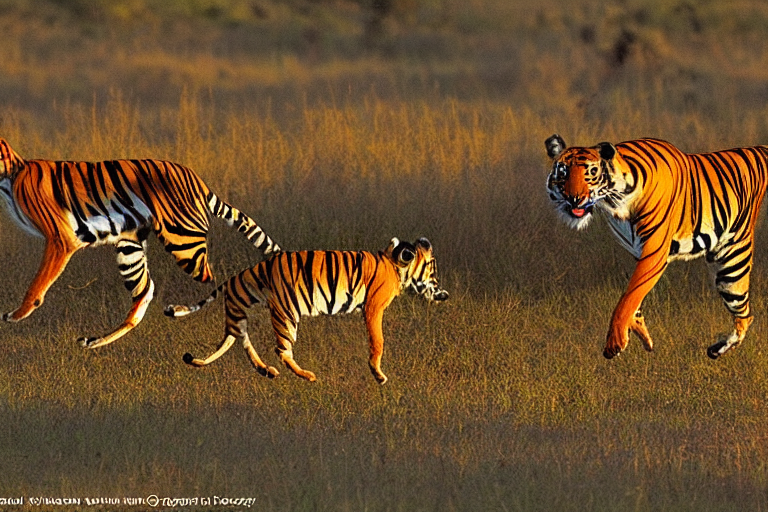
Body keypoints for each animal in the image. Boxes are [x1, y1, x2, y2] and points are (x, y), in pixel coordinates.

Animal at [0, 138, 280, 348]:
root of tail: (198, 181)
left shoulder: (60, 238)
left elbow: (37, 283)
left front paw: (16, 314)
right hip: (130, 248)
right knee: (145, 292)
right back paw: (95, 341)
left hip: (184, 244)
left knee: (213, 278)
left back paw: (182, 311)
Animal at [164, 237, 449, 384]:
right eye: (433, 266)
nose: (444, 292)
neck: (395, 264)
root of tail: (243, 273)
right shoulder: (373, 307)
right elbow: (378, 341)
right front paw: (378, 374)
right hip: (286, 314)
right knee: (280, 350)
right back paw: (306, 375)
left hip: (240, 313)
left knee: (237, 340)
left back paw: (263, 370)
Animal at [545, 134, 768, 360]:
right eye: (562, 173)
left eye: (591, 172)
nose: (574, 198)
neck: (615, 203)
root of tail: (755, 149)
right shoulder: (636, 251)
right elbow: (633, 296)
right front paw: (641, 334)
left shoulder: (654, 252)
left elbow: (630, 296)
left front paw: (615, 342)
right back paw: (716, 349)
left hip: (732, 266)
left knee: (745, 315)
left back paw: (718, 349)